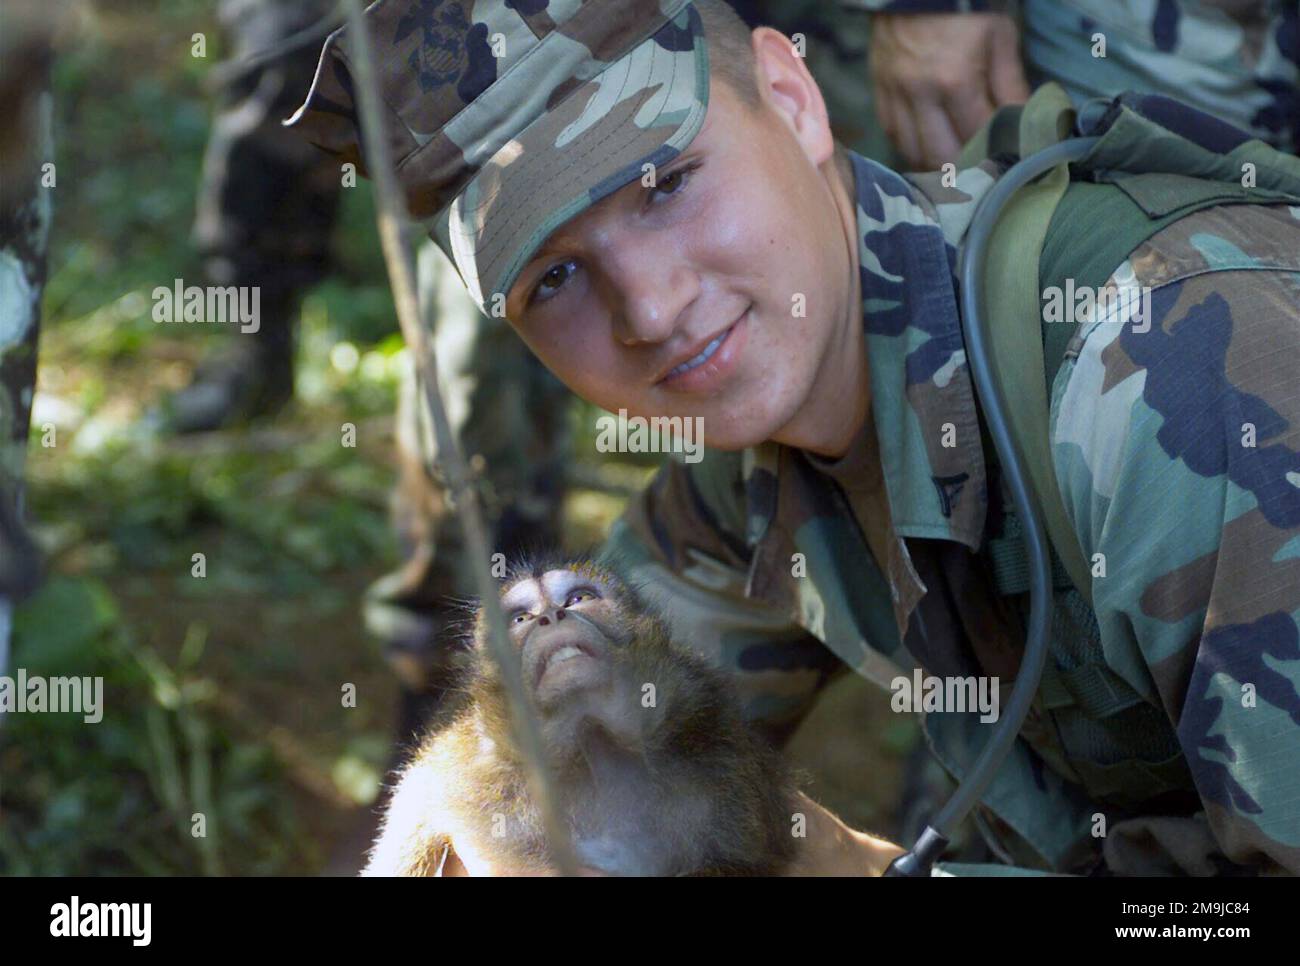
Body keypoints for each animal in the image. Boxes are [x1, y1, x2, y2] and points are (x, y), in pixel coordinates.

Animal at [363, 555, 800, 876]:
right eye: (520, 619)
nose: (551, 616)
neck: (592, 744)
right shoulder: (456, 765)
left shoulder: (717, 740)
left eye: (577, 599)